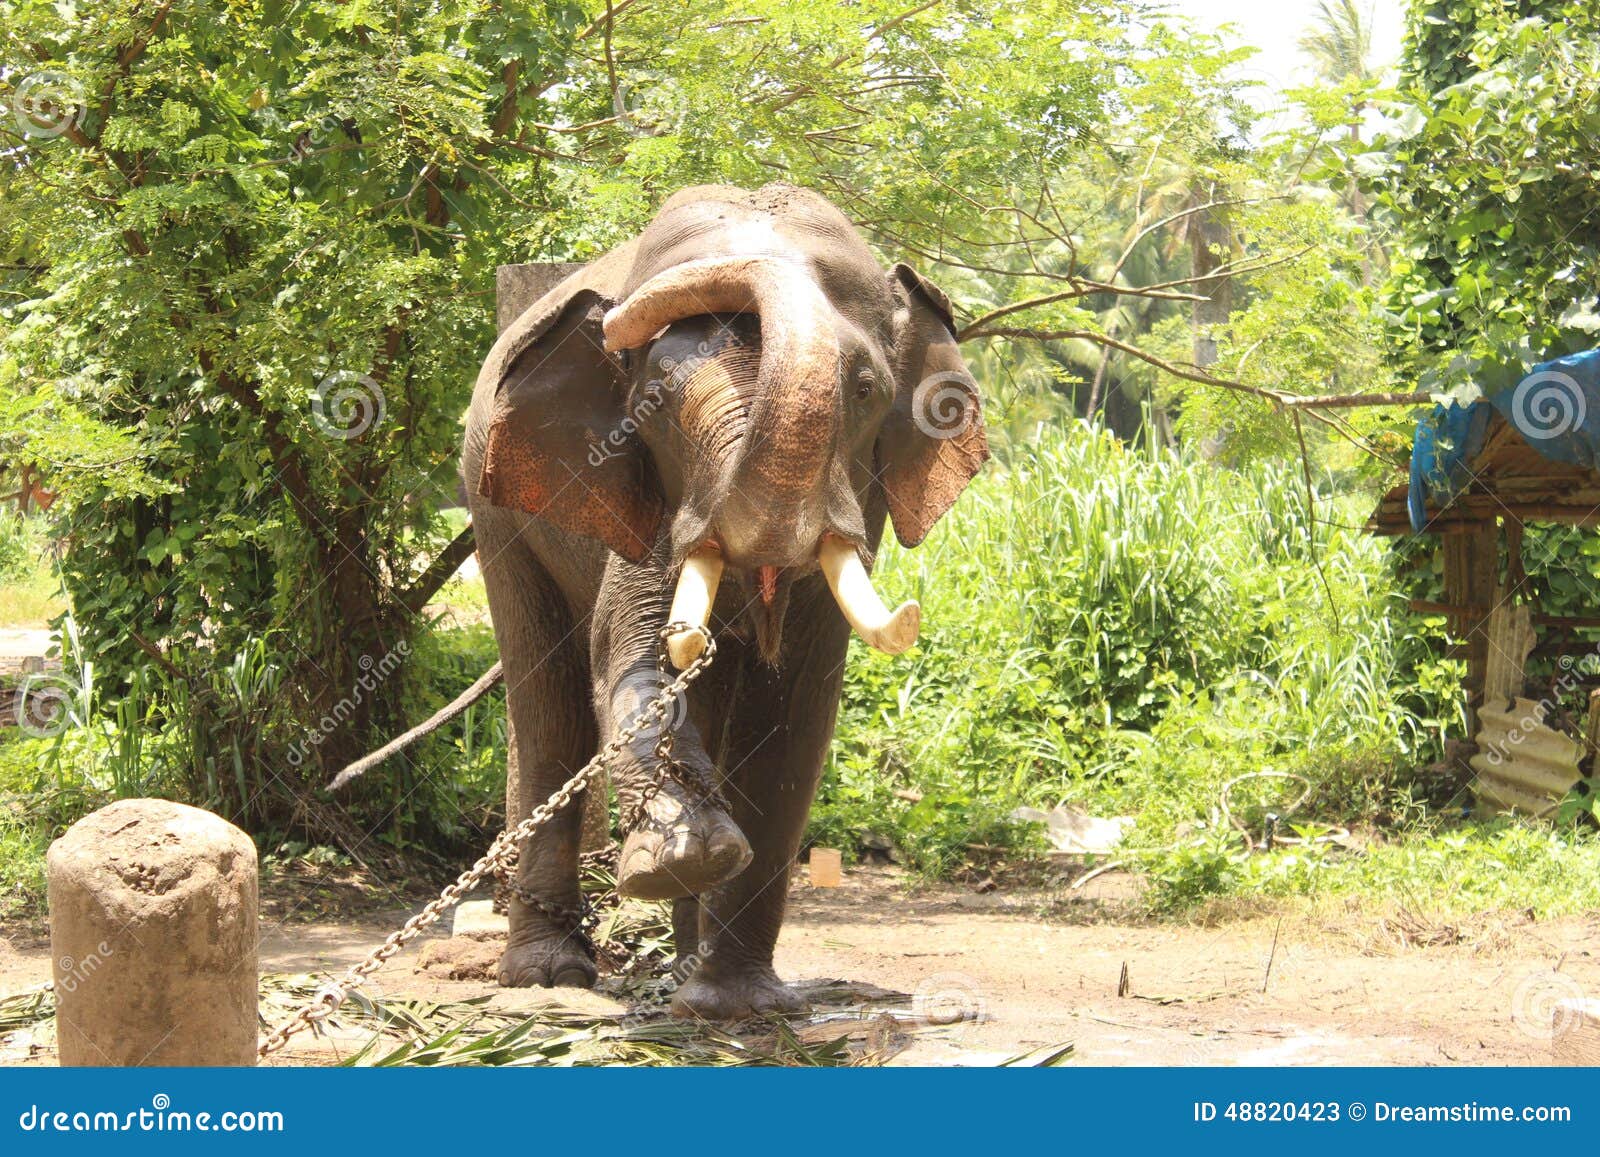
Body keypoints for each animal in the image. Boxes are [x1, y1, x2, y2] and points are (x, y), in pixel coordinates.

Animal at [462, 182, 988, 1020]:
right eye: (650, 404)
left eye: (866, 391)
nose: (614, 312)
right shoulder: (633, 486)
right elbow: (628, 651)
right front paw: (682, 854)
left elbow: (795, 712)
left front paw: (738, 1004)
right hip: (495, 509)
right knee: (548, 706)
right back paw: (549, 976)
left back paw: (683, 970)